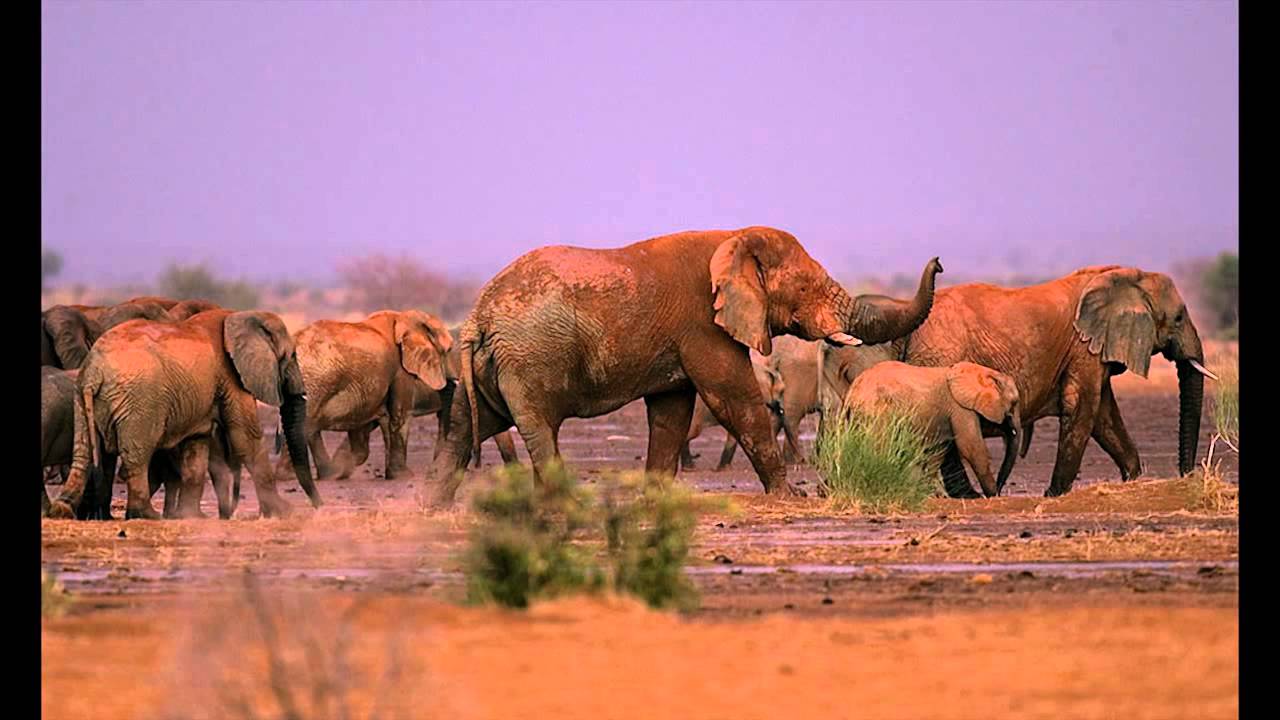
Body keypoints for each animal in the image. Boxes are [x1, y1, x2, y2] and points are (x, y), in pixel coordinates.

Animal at [48, 309, 319, 519]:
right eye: (291, 356)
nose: (320, 506)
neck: (242, 317)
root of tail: (94, 369)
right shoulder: (232, 376)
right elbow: (246, 438)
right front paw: (285, 513)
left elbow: (196, 446)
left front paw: (191, 517)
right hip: (140, 401)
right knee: (137, 454)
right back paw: (145, 515)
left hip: (81, 398)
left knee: (84, 452)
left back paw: (64, 510)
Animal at [275, 310, 457, 483]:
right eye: (448, 350)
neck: (407, 318)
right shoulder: (400, 371)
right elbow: (399, 416)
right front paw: (404, 477)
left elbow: (382, 422)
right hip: (316, 380)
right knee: (304, 424)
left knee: (307, 425)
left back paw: (326, 474)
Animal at [431, 226, 943, 506]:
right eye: (803, 287)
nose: (938, 261)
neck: (732, 239)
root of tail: (478, 315)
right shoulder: (704, 323)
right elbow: (734, 396)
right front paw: (789, 496)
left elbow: (671, 411)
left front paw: (656, 497)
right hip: (530, 357)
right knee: (537, 425)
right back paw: (563, 503)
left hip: (494, 366)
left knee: (466, 425)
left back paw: (432, 508)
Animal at [839, 361, 1022, 498]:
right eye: (1014, 403)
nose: (1000, 490)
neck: (985, 371)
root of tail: (852, 392)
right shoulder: (960, 407)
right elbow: (971, 447)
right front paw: (991, 495)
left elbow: (937, 450)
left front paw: (937, 495)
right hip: (875, 410)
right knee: (880, 445)